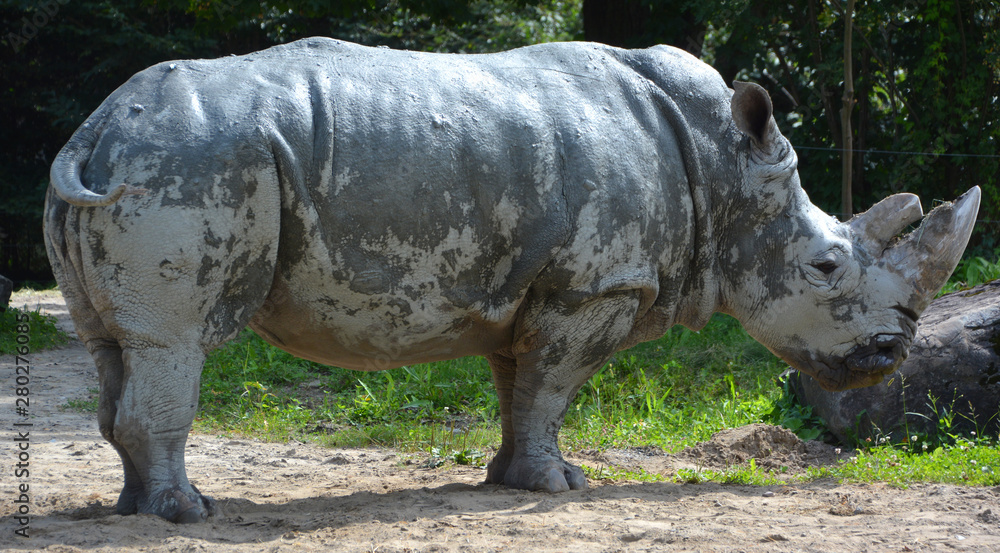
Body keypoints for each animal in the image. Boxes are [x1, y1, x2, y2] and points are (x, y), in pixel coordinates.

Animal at [44, 37, 979, 523]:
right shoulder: (597, 284)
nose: (891, 354)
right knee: (175, 339)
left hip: (150, 160)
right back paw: (187, 513)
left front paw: (512, 476)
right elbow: (555, 386)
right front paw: (560, 488)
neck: (729, 168)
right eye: (826, 268)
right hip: (192, 160)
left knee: (113, 344)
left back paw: (137, 508)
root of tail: (94, 131)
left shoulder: (529, 283)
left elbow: (521, 387)